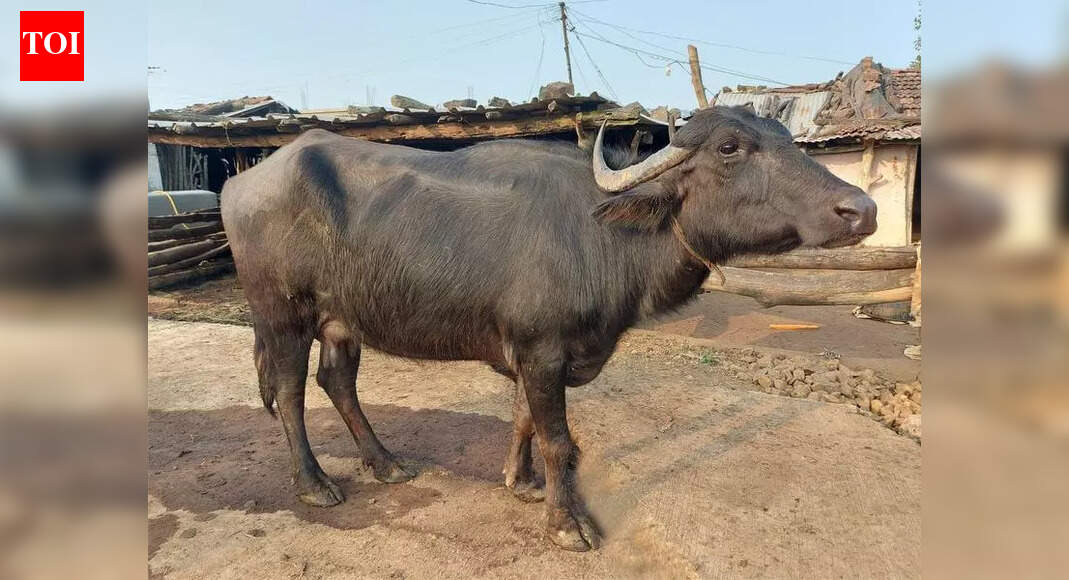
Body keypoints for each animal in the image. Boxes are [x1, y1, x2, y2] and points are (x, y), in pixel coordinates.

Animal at [220, 105, 876, 551]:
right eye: (730, 147)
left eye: (788, 141)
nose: (862, 210)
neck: (604, 235)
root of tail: (239, 182)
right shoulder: (542, 351)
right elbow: (558, 437)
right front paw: (567, 522)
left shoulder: (531, 354)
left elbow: (524, 420)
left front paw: (522, 481)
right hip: (281, 313)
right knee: (290, 391)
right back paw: (315, 483)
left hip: (341, 319)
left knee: (338, 382)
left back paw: (385, 464)